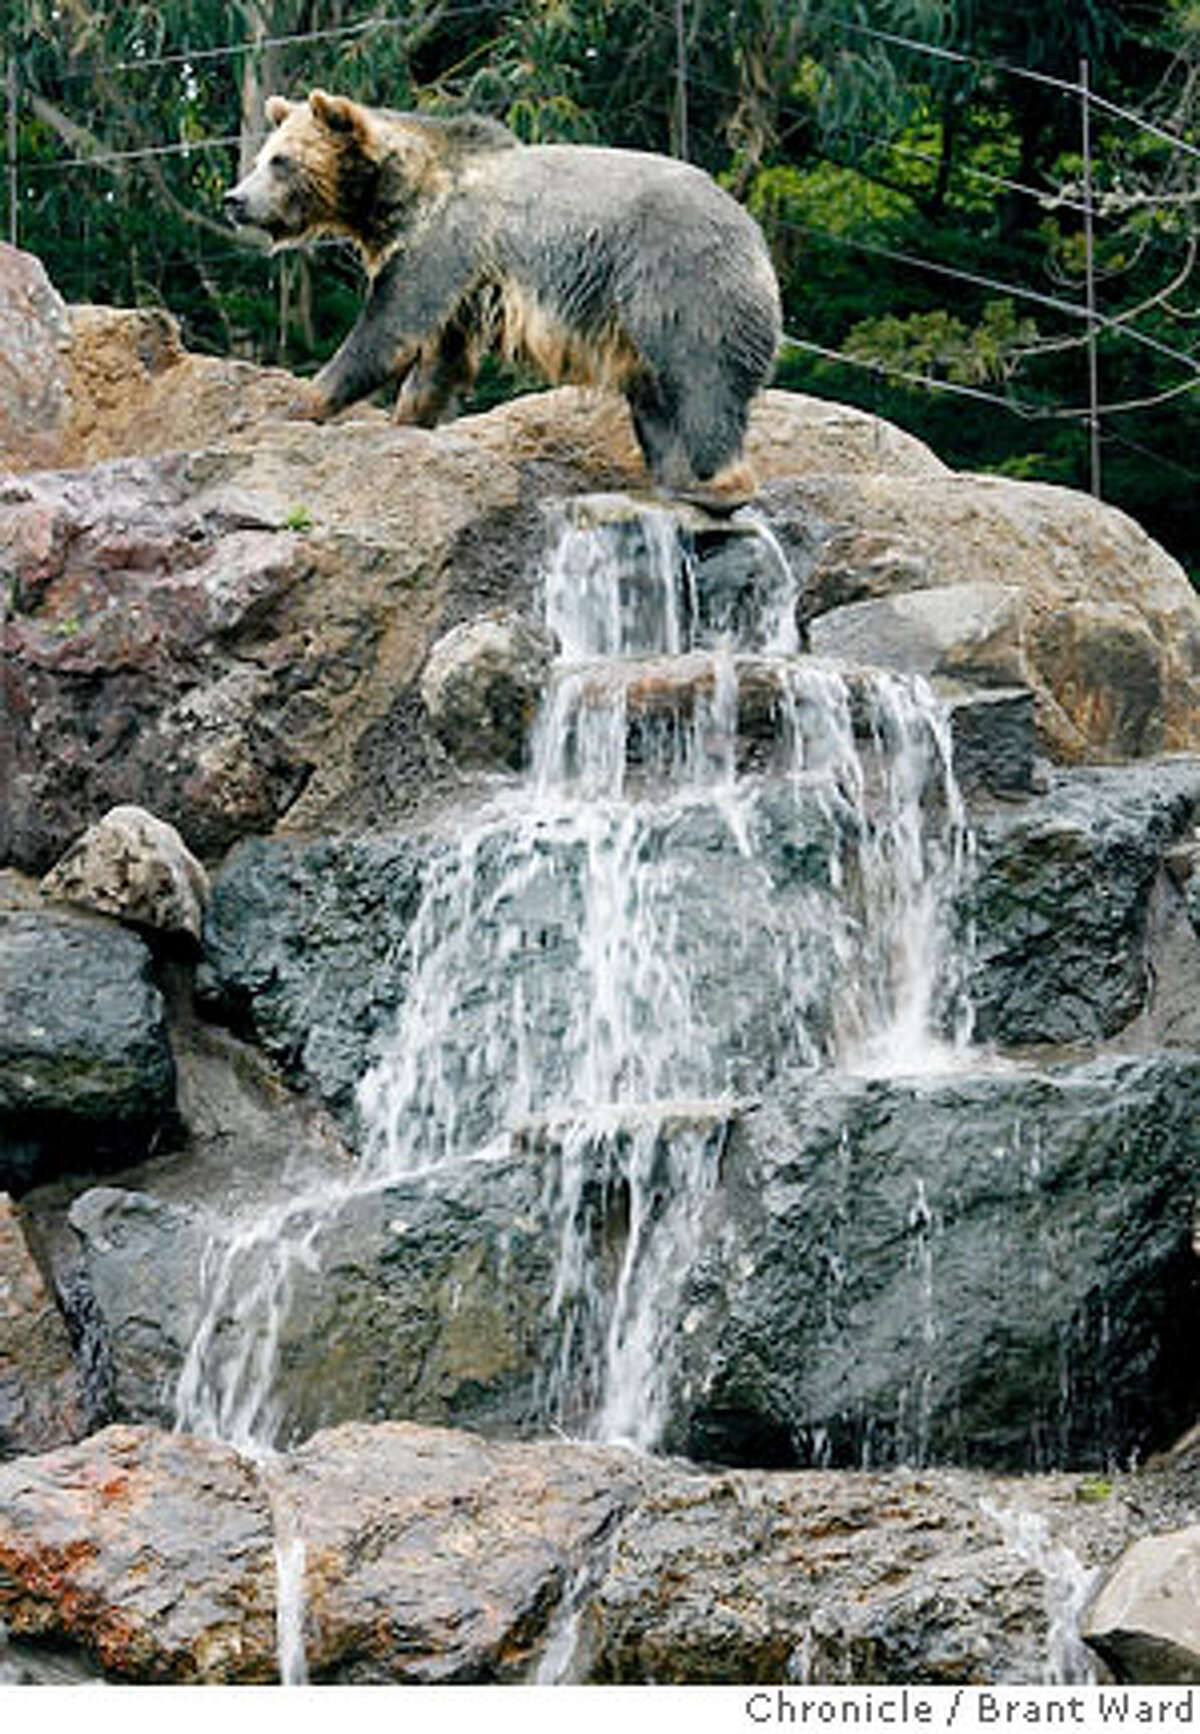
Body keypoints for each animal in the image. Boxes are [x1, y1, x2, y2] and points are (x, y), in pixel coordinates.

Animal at [223, 90, 782, 510]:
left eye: (281, 161)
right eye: (261, 159)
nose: (235, 200)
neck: (393, 197)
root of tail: (752, 229)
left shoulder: (441, 241)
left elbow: (389, 329)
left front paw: (291, 409)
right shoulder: (463, 280)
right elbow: (440, 356)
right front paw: (411, 421)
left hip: (678, 277)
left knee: (700, 378)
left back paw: (716, 486)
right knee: (654, 399)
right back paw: (672, 478)